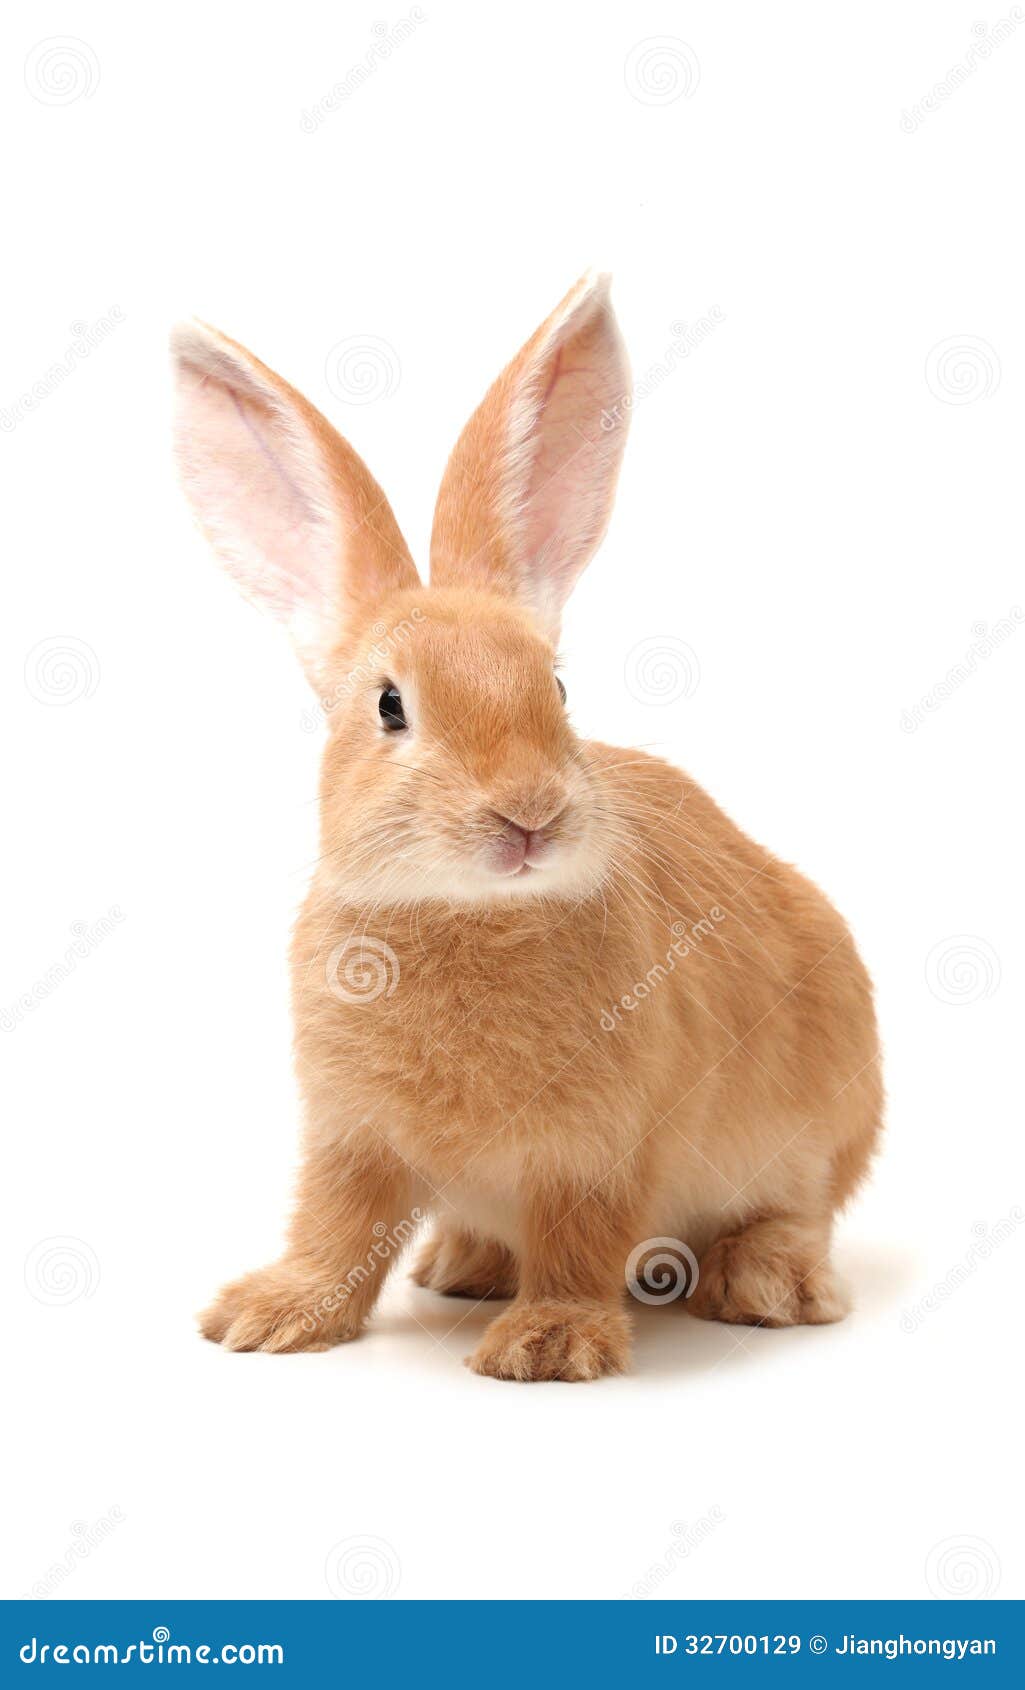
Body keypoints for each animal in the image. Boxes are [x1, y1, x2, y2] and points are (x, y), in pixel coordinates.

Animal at [172, 273, 881, 1382]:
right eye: (389, 707)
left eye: (555, 690)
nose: (529, 812)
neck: (462, 915)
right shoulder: (348, 1137)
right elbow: (335, 1228)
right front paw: (269, 1316)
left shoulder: (599, 1149)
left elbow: (579, 1241)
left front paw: (547, 1344)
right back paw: (462, 1265)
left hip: (821, 1114)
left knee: (795, 1209)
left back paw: (765, 1285)